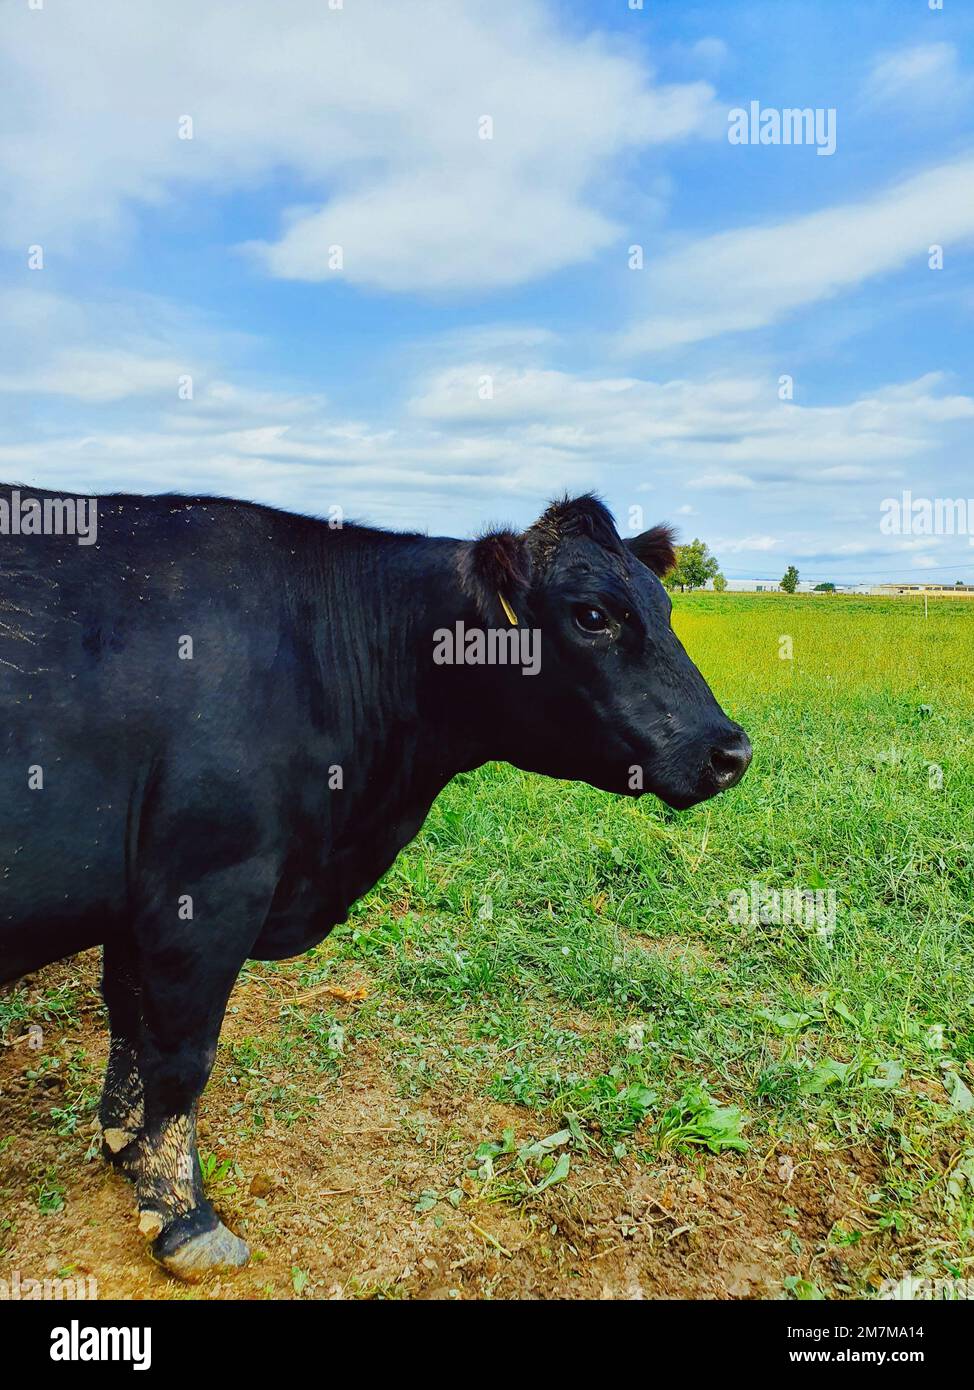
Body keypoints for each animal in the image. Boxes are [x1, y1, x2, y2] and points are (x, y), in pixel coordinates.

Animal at [0, 488, 750, 1279]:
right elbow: (180, 1054)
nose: (731, 751)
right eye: (594, 615)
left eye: (666, 605)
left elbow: (125, 1015)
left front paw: (127, 1143)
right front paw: (184, 1217)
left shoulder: (134, 900)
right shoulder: (209, 886)